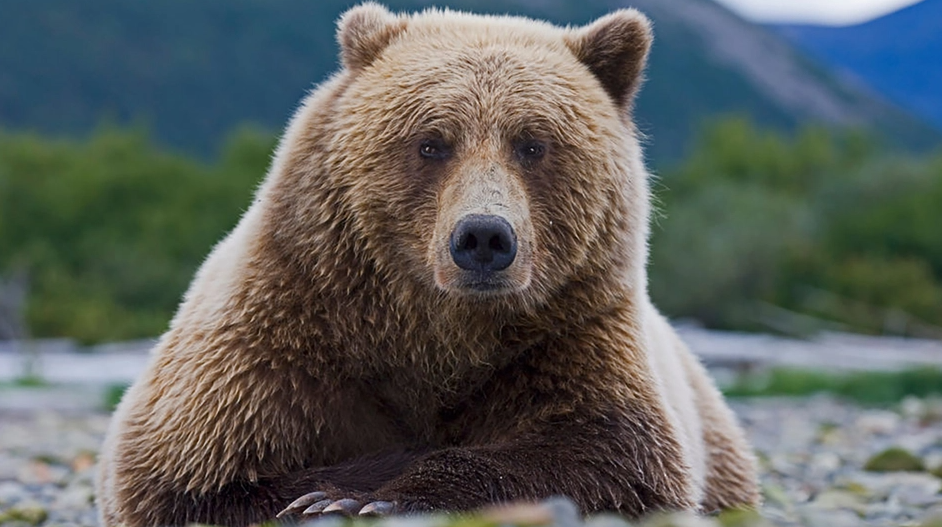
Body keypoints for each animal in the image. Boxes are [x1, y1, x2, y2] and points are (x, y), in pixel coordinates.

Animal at [95, 4, 760, 527]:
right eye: (431, 142)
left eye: (533, 143)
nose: (484, 238)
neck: (432, 328)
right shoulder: (281, 336)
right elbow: (189, 476)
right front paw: (331, 491)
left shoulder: (569, 334)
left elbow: (612, 455)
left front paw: (373, 495)